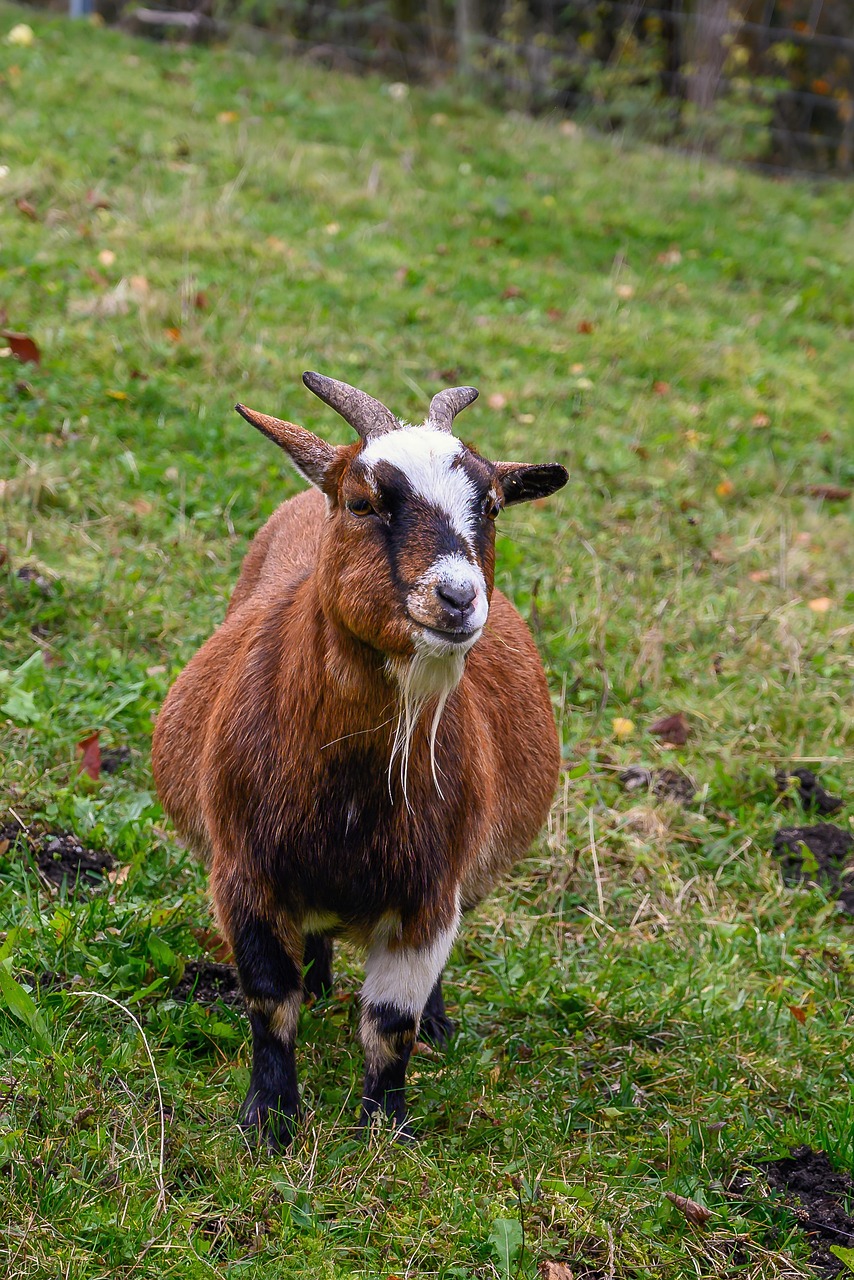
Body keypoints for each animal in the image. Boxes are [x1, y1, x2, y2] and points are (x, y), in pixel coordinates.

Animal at [152, 373, 567, 1149]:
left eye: (493, 505)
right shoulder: (243, 873)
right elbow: (271, 1000)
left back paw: (436, 1023)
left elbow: (389, 1023)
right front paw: (270, 1121)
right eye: (363, 501)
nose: (458, 597)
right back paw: (320, 985)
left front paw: (386, 1127)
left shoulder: (430, 893)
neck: (349, 798)